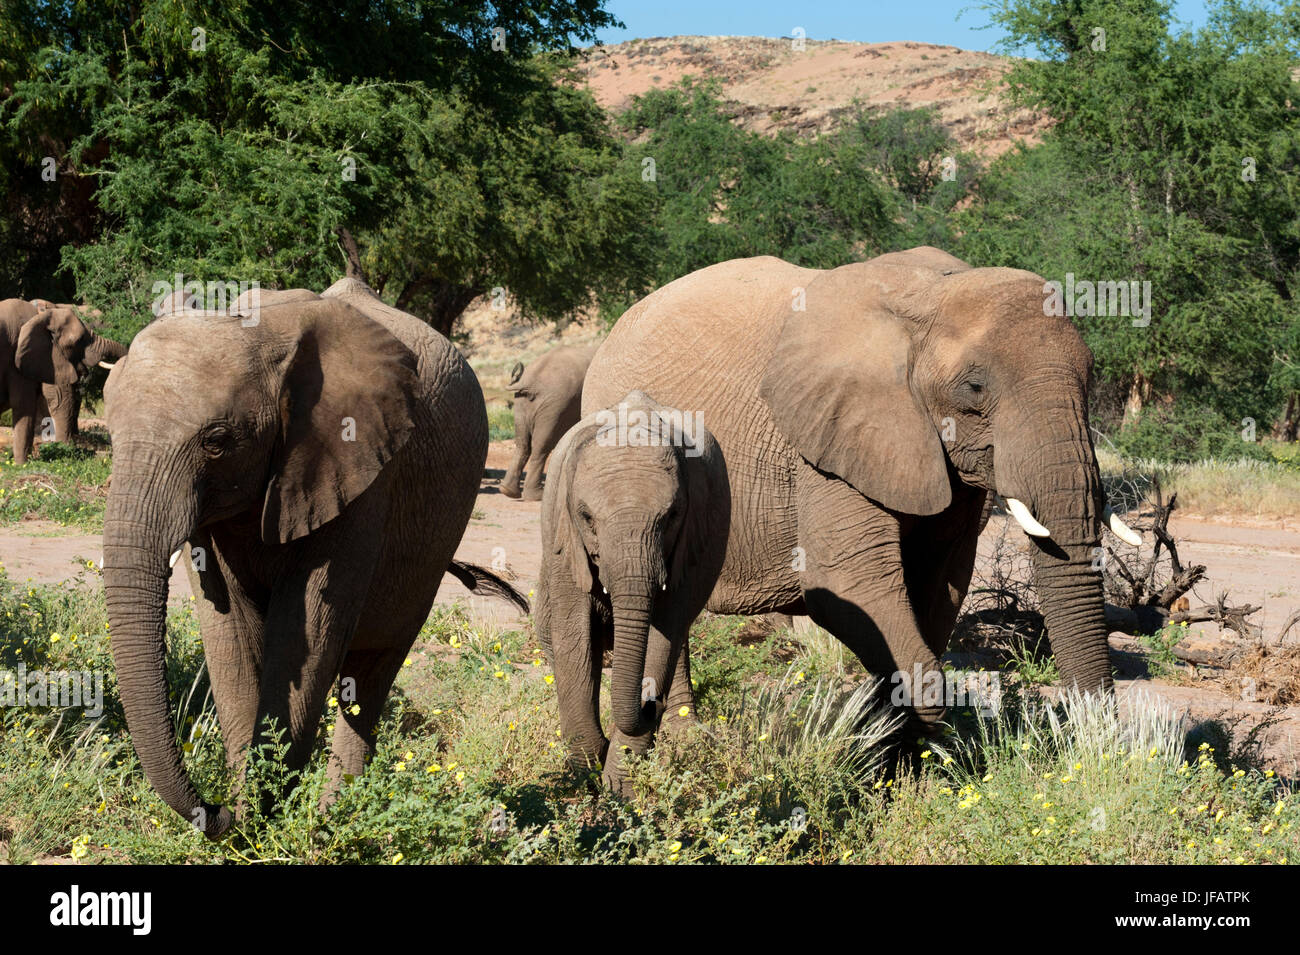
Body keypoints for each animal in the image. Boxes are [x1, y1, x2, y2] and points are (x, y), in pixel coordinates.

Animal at [101, 277, 526, 839]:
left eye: (217, 442)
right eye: (109, 434)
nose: (214, 808)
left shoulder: (359, 468)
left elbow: (309, 631)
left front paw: (263, 820)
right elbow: (228, 633)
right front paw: (248, 819)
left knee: (370, 677)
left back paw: (335, 819)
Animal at [501, 344, 598, 500]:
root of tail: (530, 381)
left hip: (522, 404)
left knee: (522, 443)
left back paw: (509, 491)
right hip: (555, 405)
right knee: (542, 446)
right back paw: (536, 496)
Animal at [537, 390, 728, 794]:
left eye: (671, 516)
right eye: (586, 517)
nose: (650, 705)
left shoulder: (691, 543)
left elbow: (663, 637)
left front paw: (619, 790)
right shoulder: (565, 538)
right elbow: (575, 637)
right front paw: (586, 776)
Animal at [583, 248, 1141, 736]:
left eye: (1091, 377)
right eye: (975, 388)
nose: (1099, 738)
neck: (931, 295)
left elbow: (937, 585)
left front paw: (899, 761)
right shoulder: (827, 441)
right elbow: (849, 582)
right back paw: (685, 737)